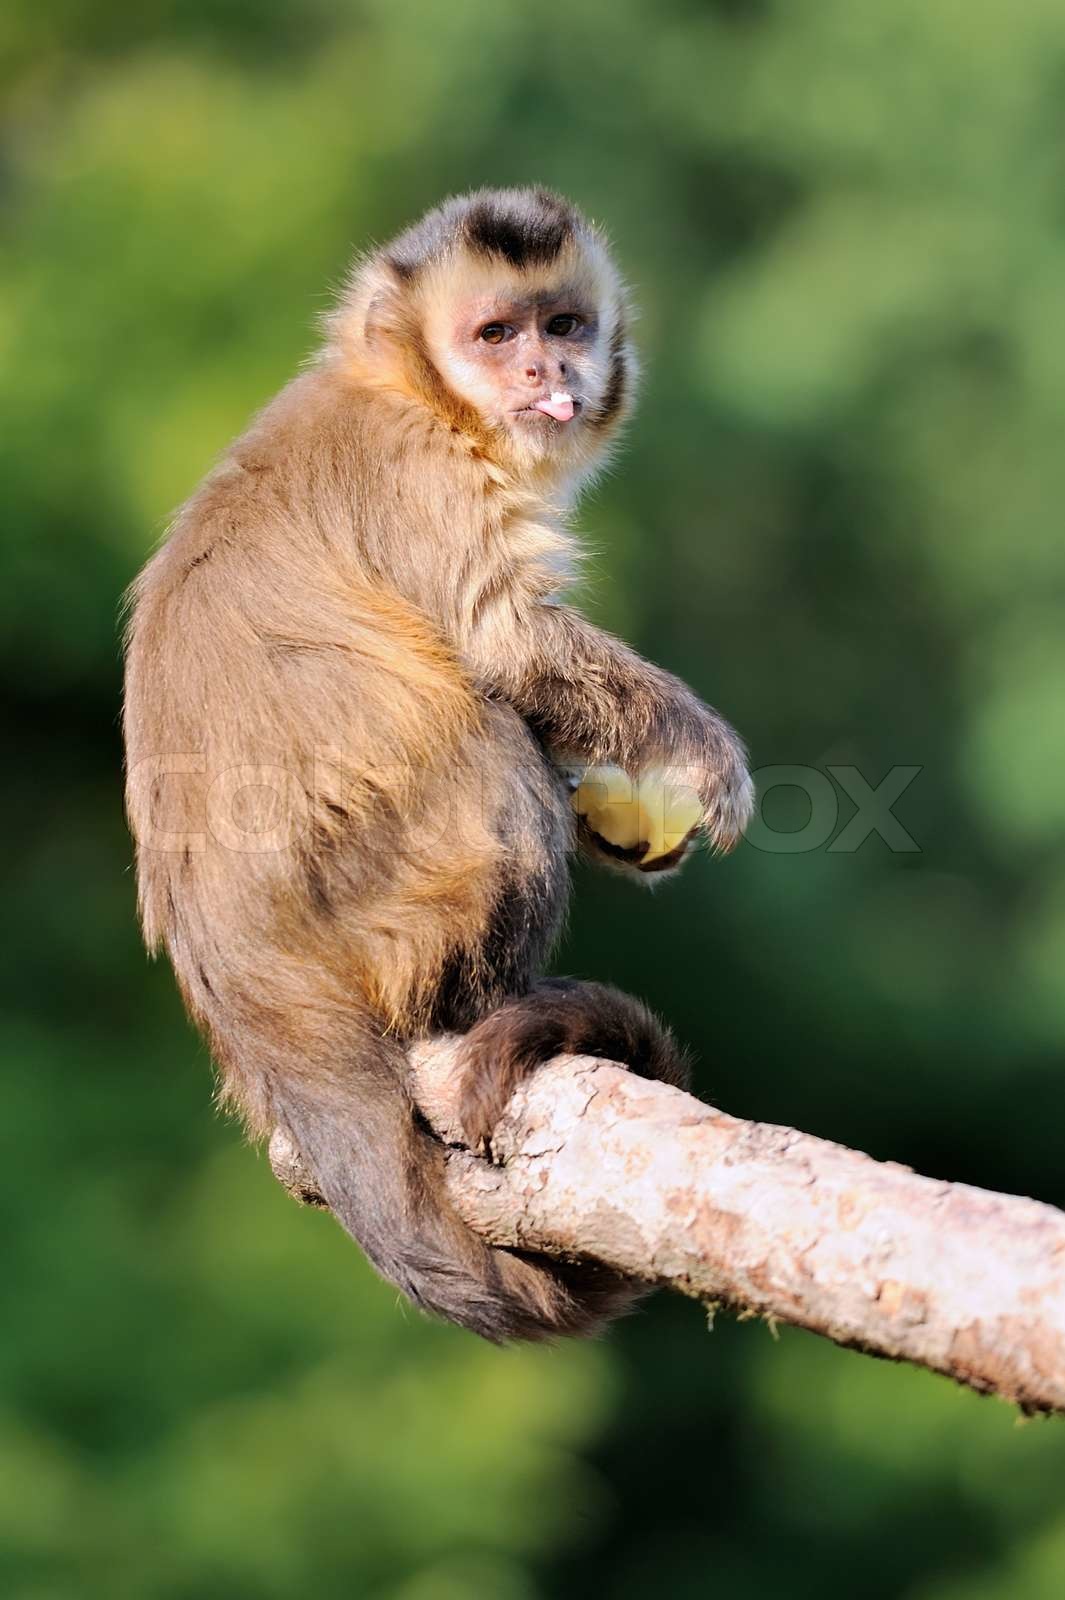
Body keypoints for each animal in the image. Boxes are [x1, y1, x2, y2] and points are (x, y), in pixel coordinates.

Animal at [123, 187, 754, 1342]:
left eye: (563, 325)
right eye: (495, 336)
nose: (546, 373)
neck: (415, 395)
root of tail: (245, 982)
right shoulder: (422, 471)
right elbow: (507, 650)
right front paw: (704, 757)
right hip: (379, 906)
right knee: (487, 739)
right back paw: (478, 1004)